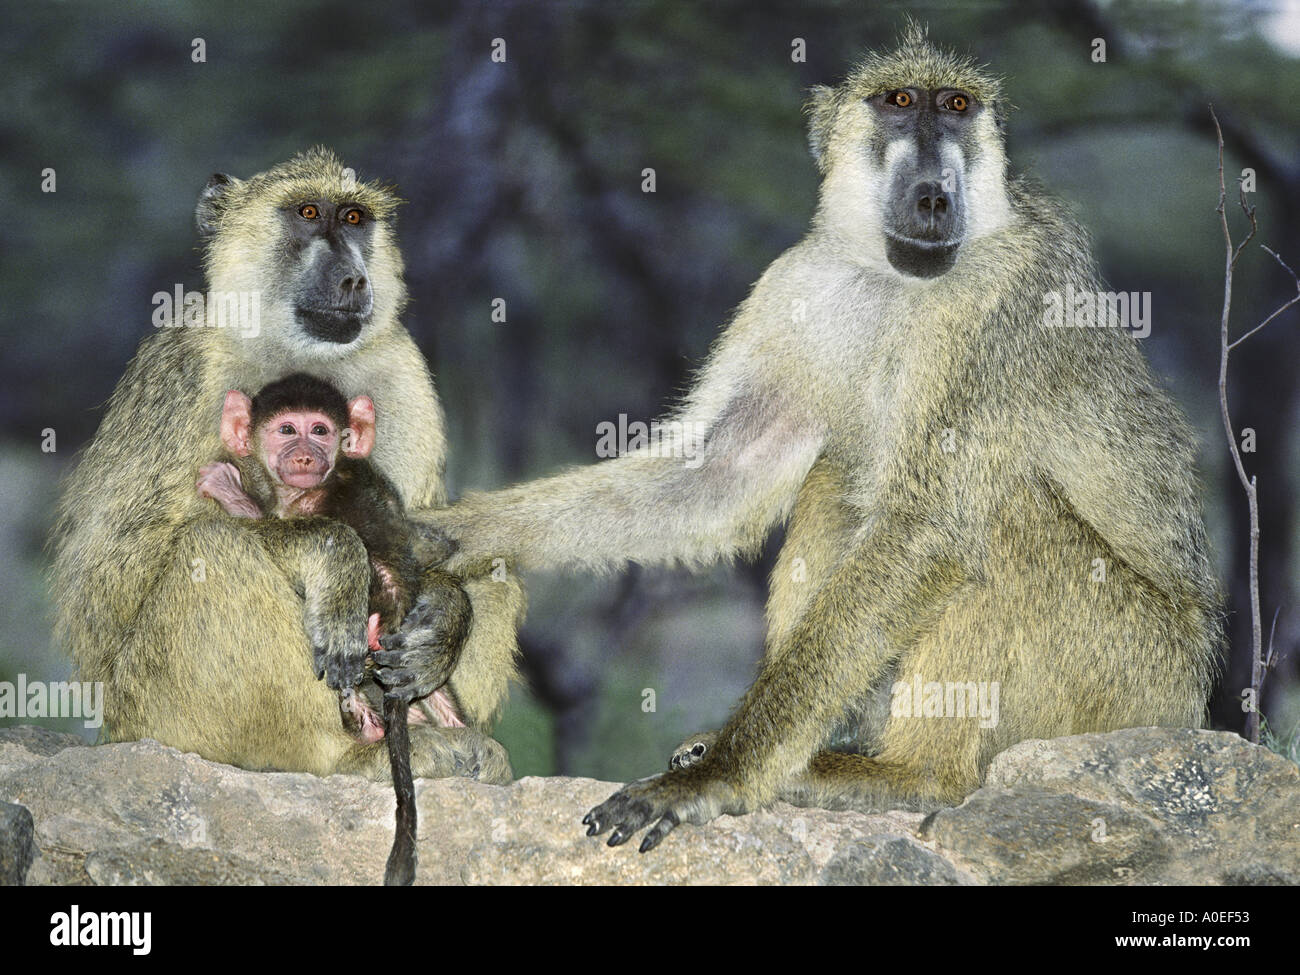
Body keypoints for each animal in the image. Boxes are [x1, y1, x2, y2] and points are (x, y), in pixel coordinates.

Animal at [49, 148, 523, 794]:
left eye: (354, 217)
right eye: (308, 213)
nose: (353, 279)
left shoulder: (402, 370)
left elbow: (423, 536)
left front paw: (443, 621)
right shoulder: (186, 366)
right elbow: (112, 583)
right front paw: (337, 557)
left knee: (495, 563)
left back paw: (451, 729)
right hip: (154, 717)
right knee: (214, 547)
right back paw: (353, 754)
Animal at [197, 372, 464, 886]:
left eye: (319, 430)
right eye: (287, 430)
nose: (305, 456)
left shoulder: (312, 498)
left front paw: (232, 494)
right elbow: (433, 546)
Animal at [428, 23, 1222, 851]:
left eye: (957, 106)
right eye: (899, 101)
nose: (934, 193)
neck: (899, 275)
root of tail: (1193, 700)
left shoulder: (1009, 300)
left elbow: (926, 527)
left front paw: (716, 779)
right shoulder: (798, 284)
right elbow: (718, 475)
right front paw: (444, 535)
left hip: (1130, 679)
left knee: (995, 516)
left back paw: (908, 773)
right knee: (835, 482)